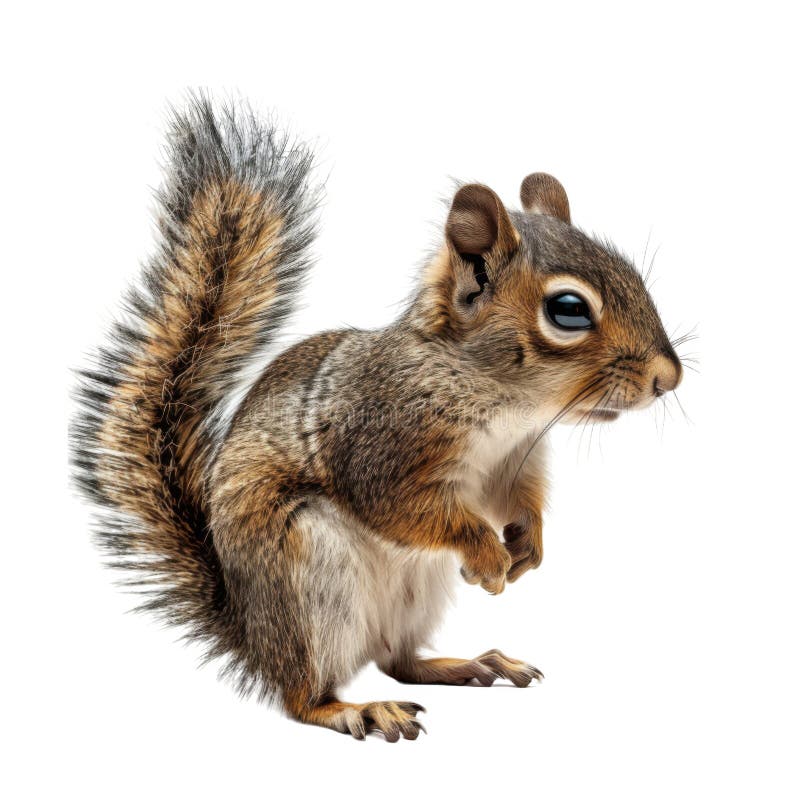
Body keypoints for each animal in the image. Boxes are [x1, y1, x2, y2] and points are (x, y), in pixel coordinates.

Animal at [72, 94, 683, 741]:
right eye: (568, 310)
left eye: (632, 274)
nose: (669, 378)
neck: (502, 404)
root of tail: (252, 633)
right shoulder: (378, 441)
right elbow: (406, 507)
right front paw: (489, 555)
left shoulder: (513, 462)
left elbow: (514, 503)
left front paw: (528, 548)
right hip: (308, 579)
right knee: (305, 694)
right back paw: (356, 708)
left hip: (418, 593)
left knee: (399, 660)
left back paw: (472, 663)